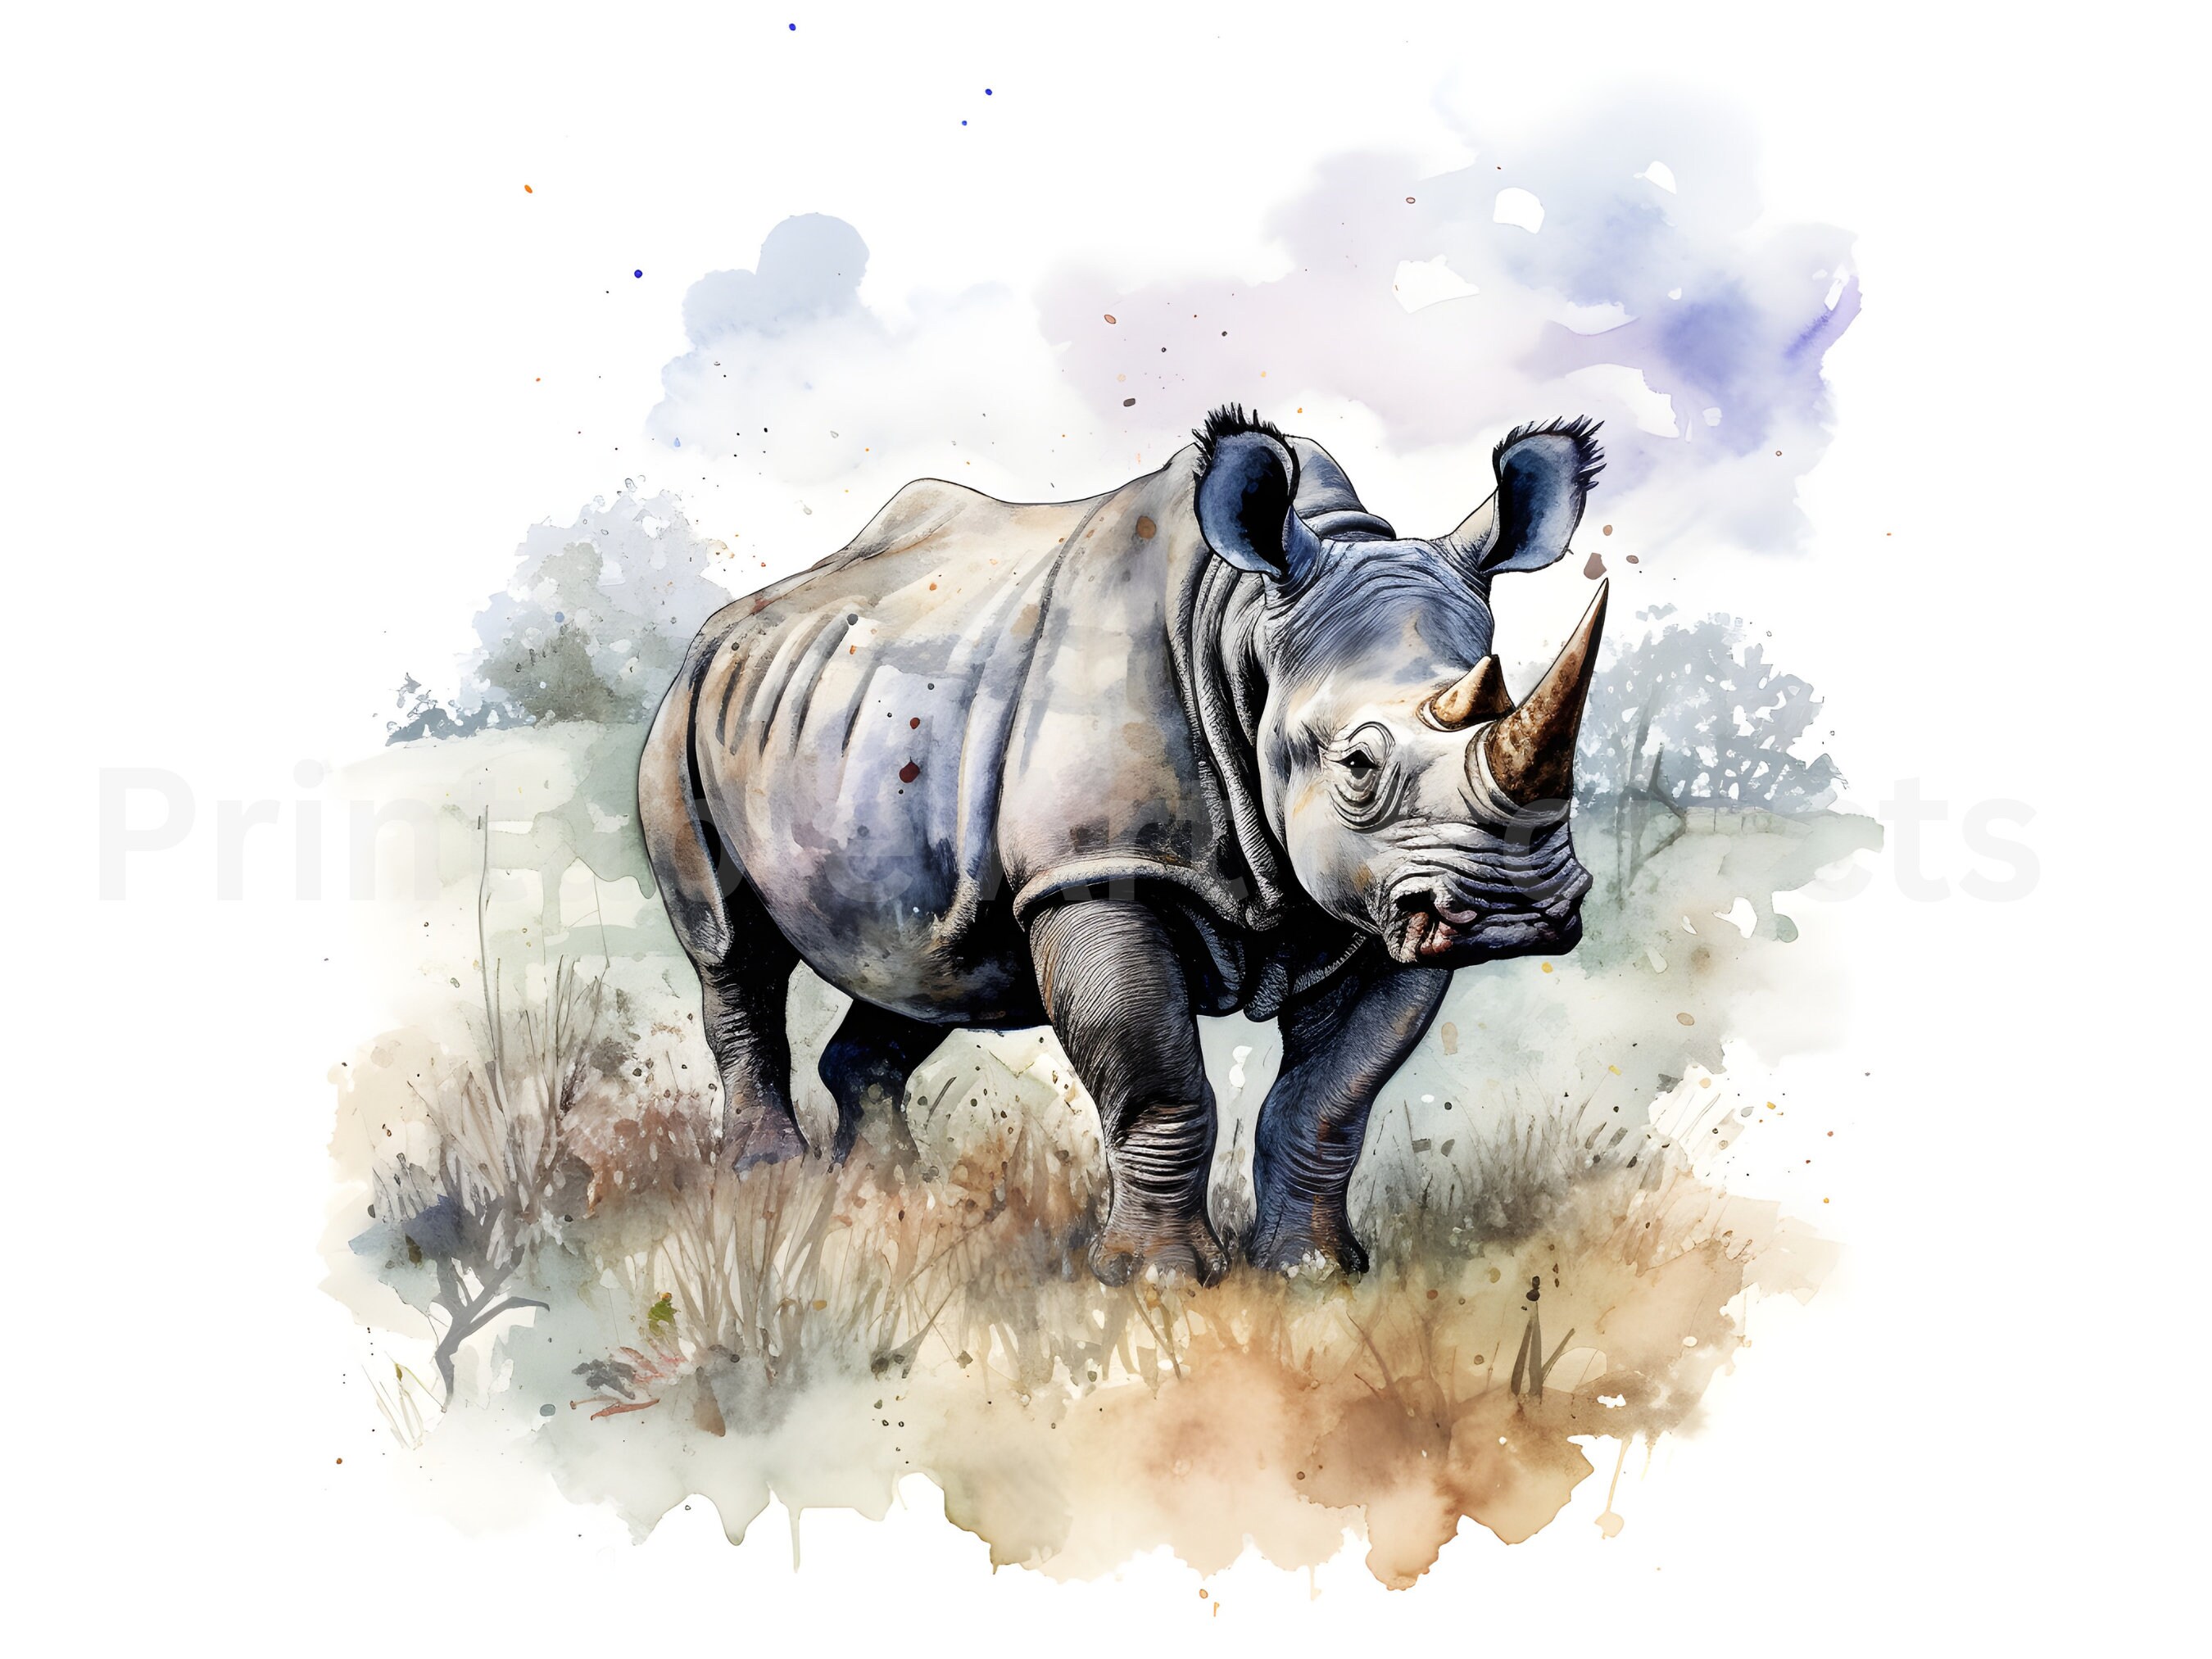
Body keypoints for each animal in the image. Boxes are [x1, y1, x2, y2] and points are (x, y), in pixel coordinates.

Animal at [639, 406, 1607, 1284]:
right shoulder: (1095, 871)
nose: (1515, 911)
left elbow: (1330, 1100)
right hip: (686, 710)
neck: (1247, 627)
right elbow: (1157, 1081)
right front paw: (1157, 1283)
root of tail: (727, 626)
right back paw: (770, 1178)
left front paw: (1315, 1275)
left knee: (921, 967)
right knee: (733, 949)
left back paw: (894, 1193)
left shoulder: (1380, 899)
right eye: (1359, 764)